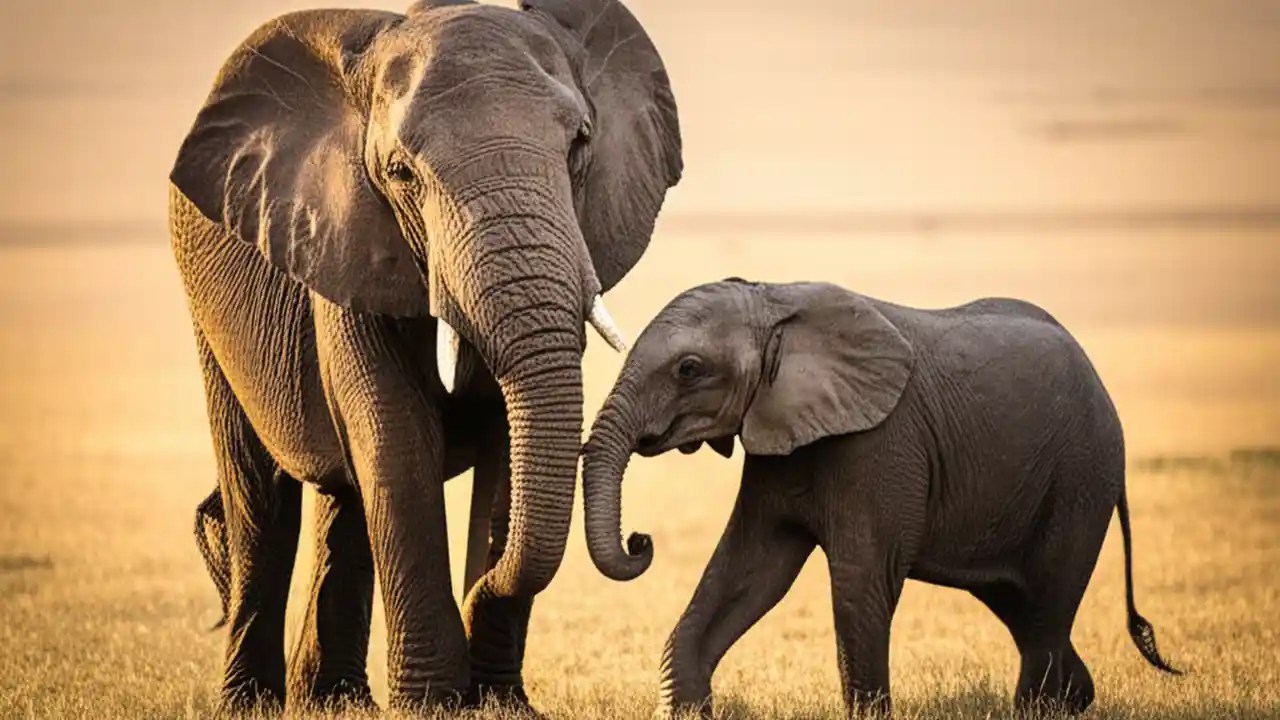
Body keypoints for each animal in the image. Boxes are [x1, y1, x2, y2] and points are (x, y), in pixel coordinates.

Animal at [168, 0, 681, 711]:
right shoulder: (345, 238)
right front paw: (434, 704)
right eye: (400, 173)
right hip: (207, 307)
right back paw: (253, 703)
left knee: (346, 498)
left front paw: (501, 705)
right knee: (262, 499)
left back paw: (335, 703)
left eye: (580, 143)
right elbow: (399, 442)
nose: (640, 542)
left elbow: (504, 449)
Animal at [580, 279, 1180, 716]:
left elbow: (857, 583)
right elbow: (747, 571)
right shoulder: (778, 441)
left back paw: (1041, 710)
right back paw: (1078, 700)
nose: (640, 540)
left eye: (689, 369)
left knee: (1047, 608)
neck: (776, 299)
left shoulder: (881, 446)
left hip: (1080, 477)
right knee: (1024, 606)